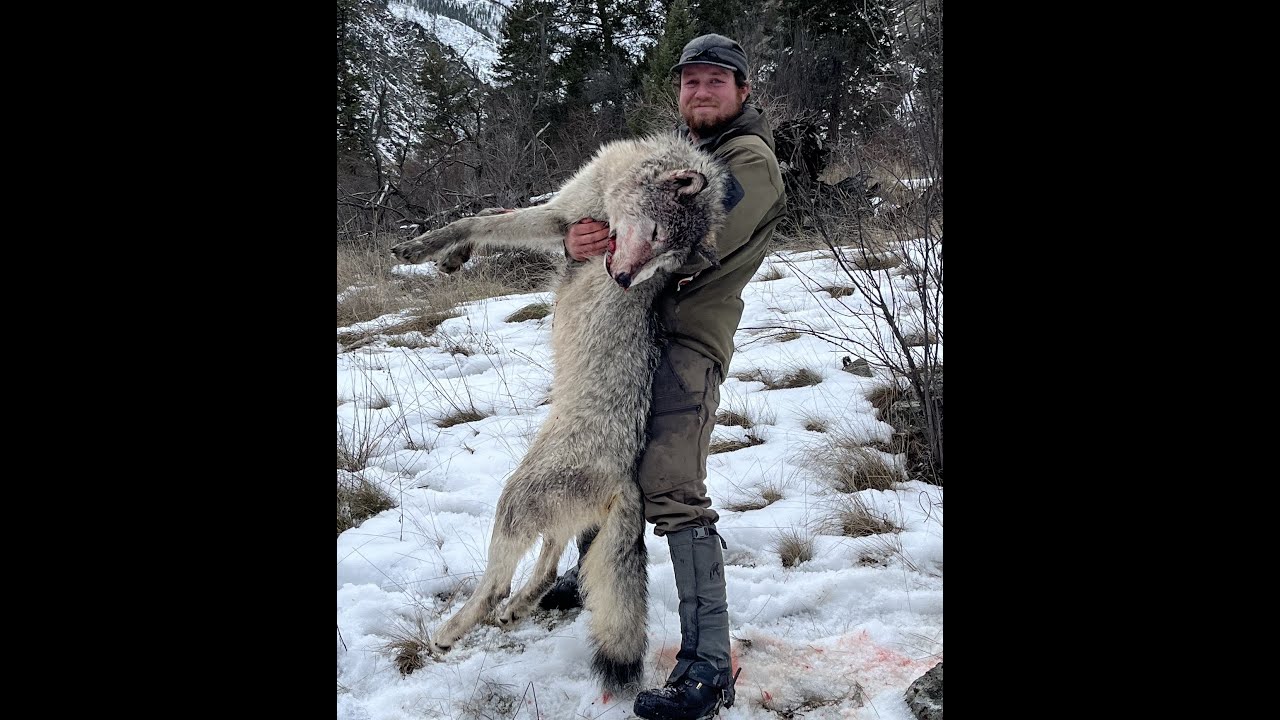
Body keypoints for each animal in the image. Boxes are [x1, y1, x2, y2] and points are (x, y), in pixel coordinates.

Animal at [391, 135, 730, 693]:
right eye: (657, 240)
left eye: (666, 260)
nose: (623, 279)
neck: (608, 191)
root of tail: (628, 481)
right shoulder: (560, 218)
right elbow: (490, 214)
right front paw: (452, 257)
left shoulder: (557, 219)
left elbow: (477, 220)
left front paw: (422, 248)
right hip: (549, 517)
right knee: (549, 569)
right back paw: (516, 610)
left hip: (514, 501)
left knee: (496, 584)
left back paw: (449, 633)